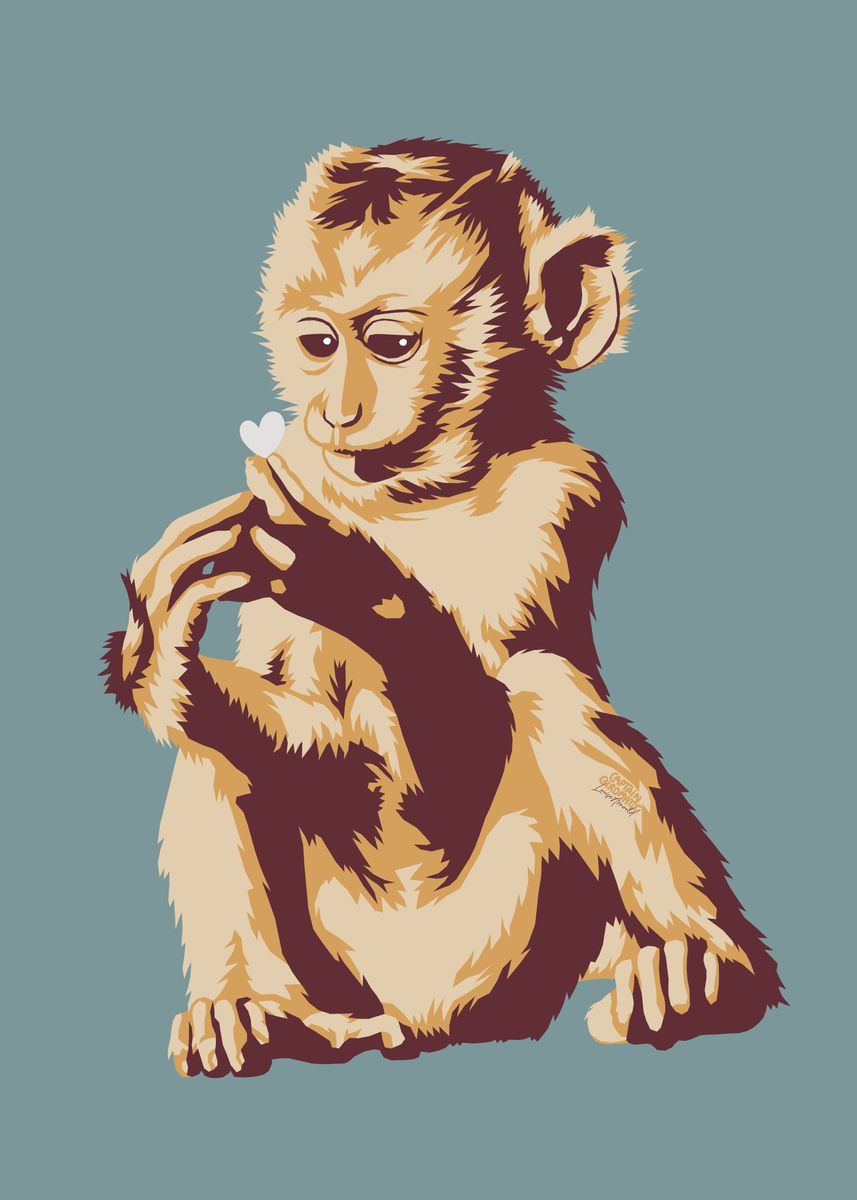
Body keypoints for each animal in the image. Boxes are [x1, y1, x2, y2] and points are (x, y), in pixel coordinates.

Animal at [103, 139, 783, 1076]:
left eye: (390, 344)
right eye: (318, 343)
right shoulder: (300, 475)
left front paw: (355, 584)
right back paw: (256, 1010)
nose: (334, 411)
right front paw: (164, 663)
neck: (415, 494)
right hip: (347, 965)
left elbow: (455, 756)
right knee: (217, 757)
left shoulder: (561, 491)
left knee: (543, 688)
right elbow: (297, 728)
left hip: (504, 951)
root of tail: (415, 1019)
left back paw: (698, 972)